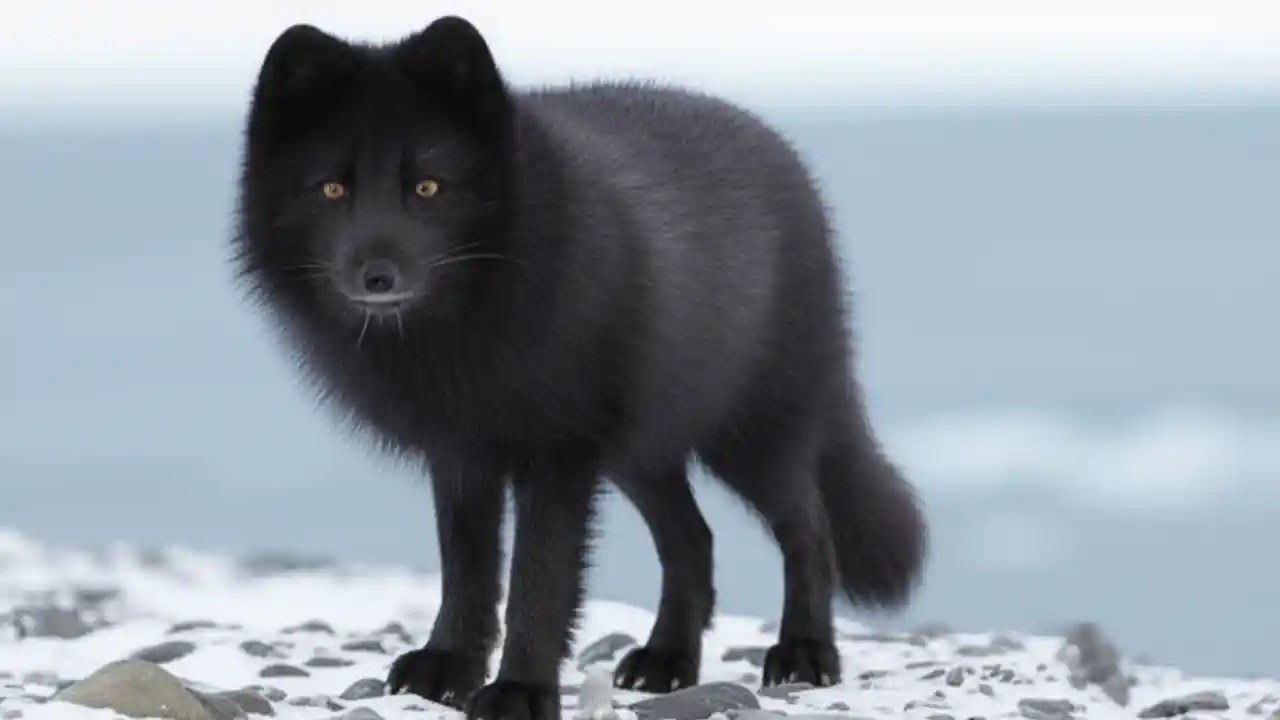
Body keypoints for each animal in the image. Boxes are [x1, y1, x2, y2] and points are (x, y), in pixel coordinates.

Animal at [233, 15, 926, 720]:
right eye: (333, 188)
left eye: (427, 186)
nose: (377, 276)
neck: (463, 333)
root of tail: (785, 153)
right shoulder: (461, 453)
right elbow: (467, 570)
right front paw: (449, 665)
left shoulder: (556, 456)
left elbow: (539, 581)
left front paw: (520, 690)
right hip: (639, 453)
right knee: (693, 540)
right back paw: (666, 661)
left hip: (751, 437)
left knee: (808, 527)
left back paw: (805, 655)